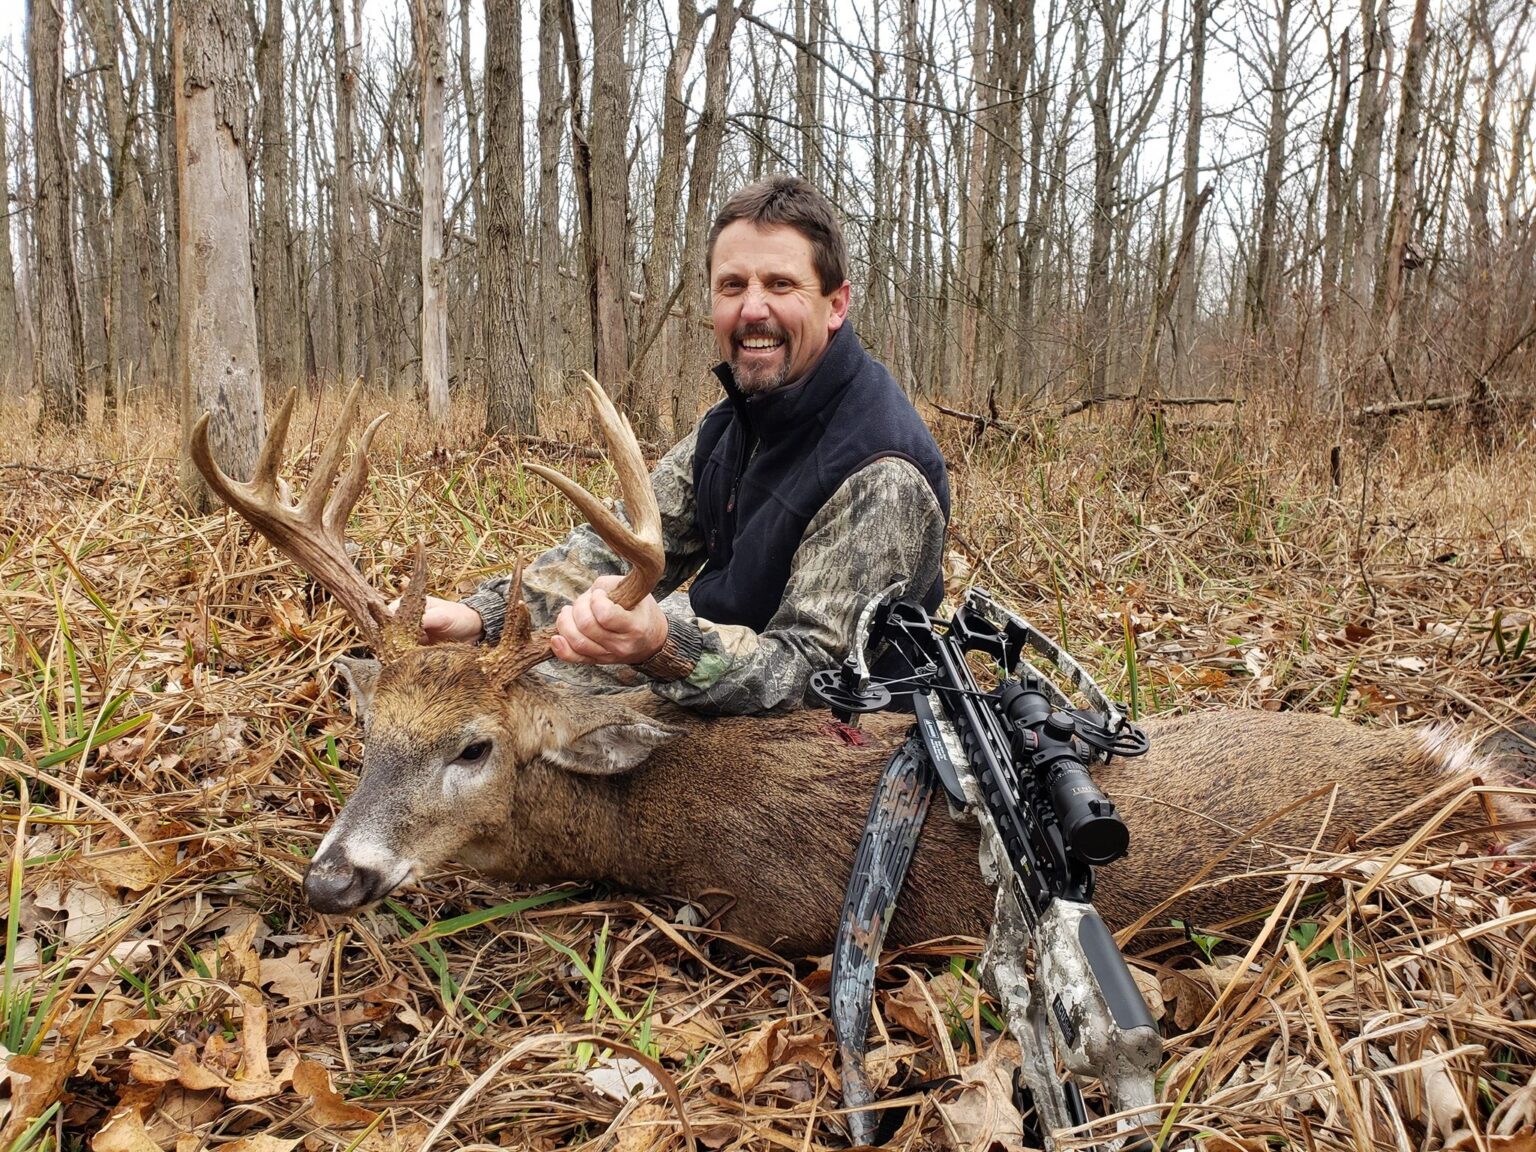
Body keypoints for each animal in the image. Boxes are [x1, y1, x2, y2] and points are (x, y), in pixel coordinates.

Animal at [191, 382, 1526, 957]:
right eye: (372, 735)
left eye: (475, 748)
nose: (332, 877)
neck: (645, 817)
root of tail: (1456, 771)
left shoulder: (761, 913)